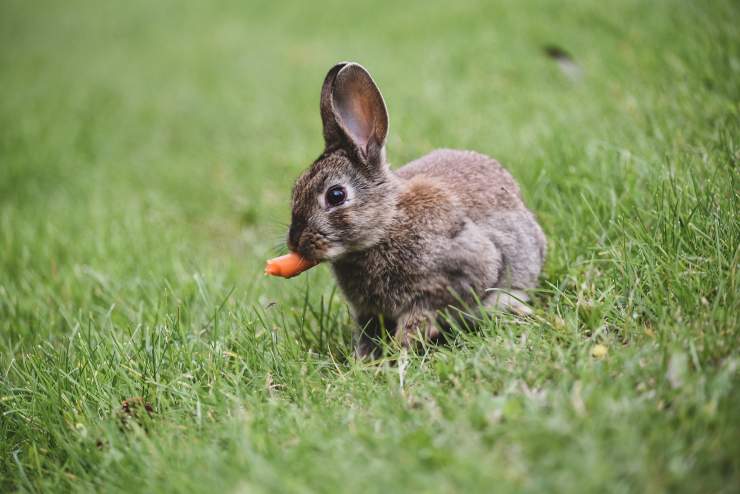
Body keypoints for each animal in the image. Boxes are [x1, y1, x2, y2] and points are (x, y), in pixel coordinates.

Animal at [287, 62, 546, 358]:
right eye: (296, 188)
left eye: (336, 195)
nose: (295, 243)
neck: (388, 223)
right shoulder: (367, 311)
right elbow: (367, 334)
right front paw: (364, 360)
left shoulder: (453, 277)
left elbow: (420, 317)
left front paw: (401, 353)